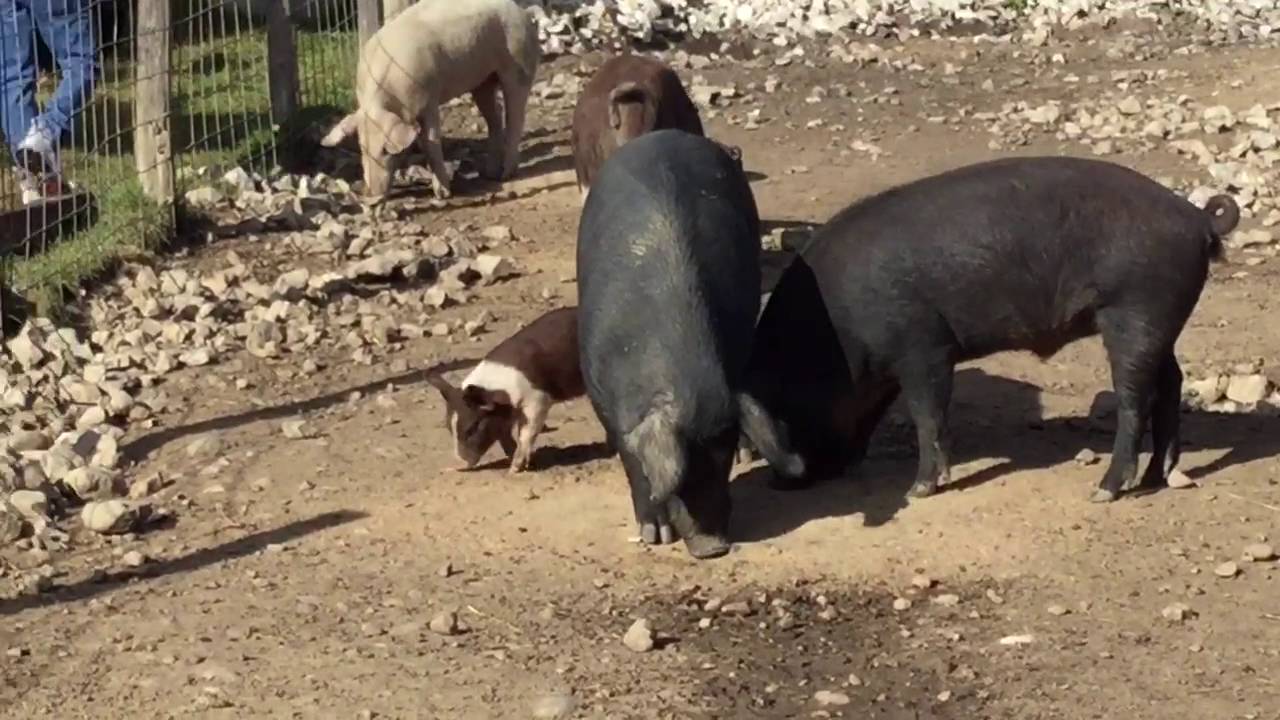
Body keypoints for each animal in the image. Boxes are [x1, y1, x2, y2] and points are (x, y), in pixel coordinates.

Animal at [320, 0, 540, 200]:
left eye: (385, 150)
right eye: (362, 148)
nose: (370, 195)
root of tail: (523, 12)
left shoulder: (429, 98)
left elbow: (431, 142)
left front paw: (442, 194)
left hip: (518, 65)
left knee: (516, 117)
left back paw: (505, 175)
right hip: (483, 81)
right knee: (494, 119)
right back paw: (490, 174)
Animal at [428, 307, 584, 473]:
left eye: (472, 428)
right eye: (449, 429)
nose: (456, 466)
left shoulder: (537, 400)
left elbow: (526, 431)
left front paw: (513, 470)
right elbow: (505, 436)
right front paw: (518, 461)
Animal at [577, 129, 802, 560]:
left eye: (723, 461)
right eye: (681, 479)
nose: (714, 547)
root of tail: (663, 134)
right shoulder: (600, 391)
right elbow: (633, 462)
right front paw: (655, 536)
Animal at [740, 156, 1239, 503]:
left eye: (786, 409)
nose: (779, 483)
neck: (832, 339)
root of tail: (1197, 217)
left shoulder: (923, 347)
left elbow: (928, 414)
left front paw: (918, 491)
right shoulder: (888, 367)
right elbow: (877, 413)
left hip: (1135, 309)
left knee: (1136, 397)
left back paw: (1104, 491)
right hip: (1157, 320)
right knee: (1170, 381)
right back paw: (1159, 477)